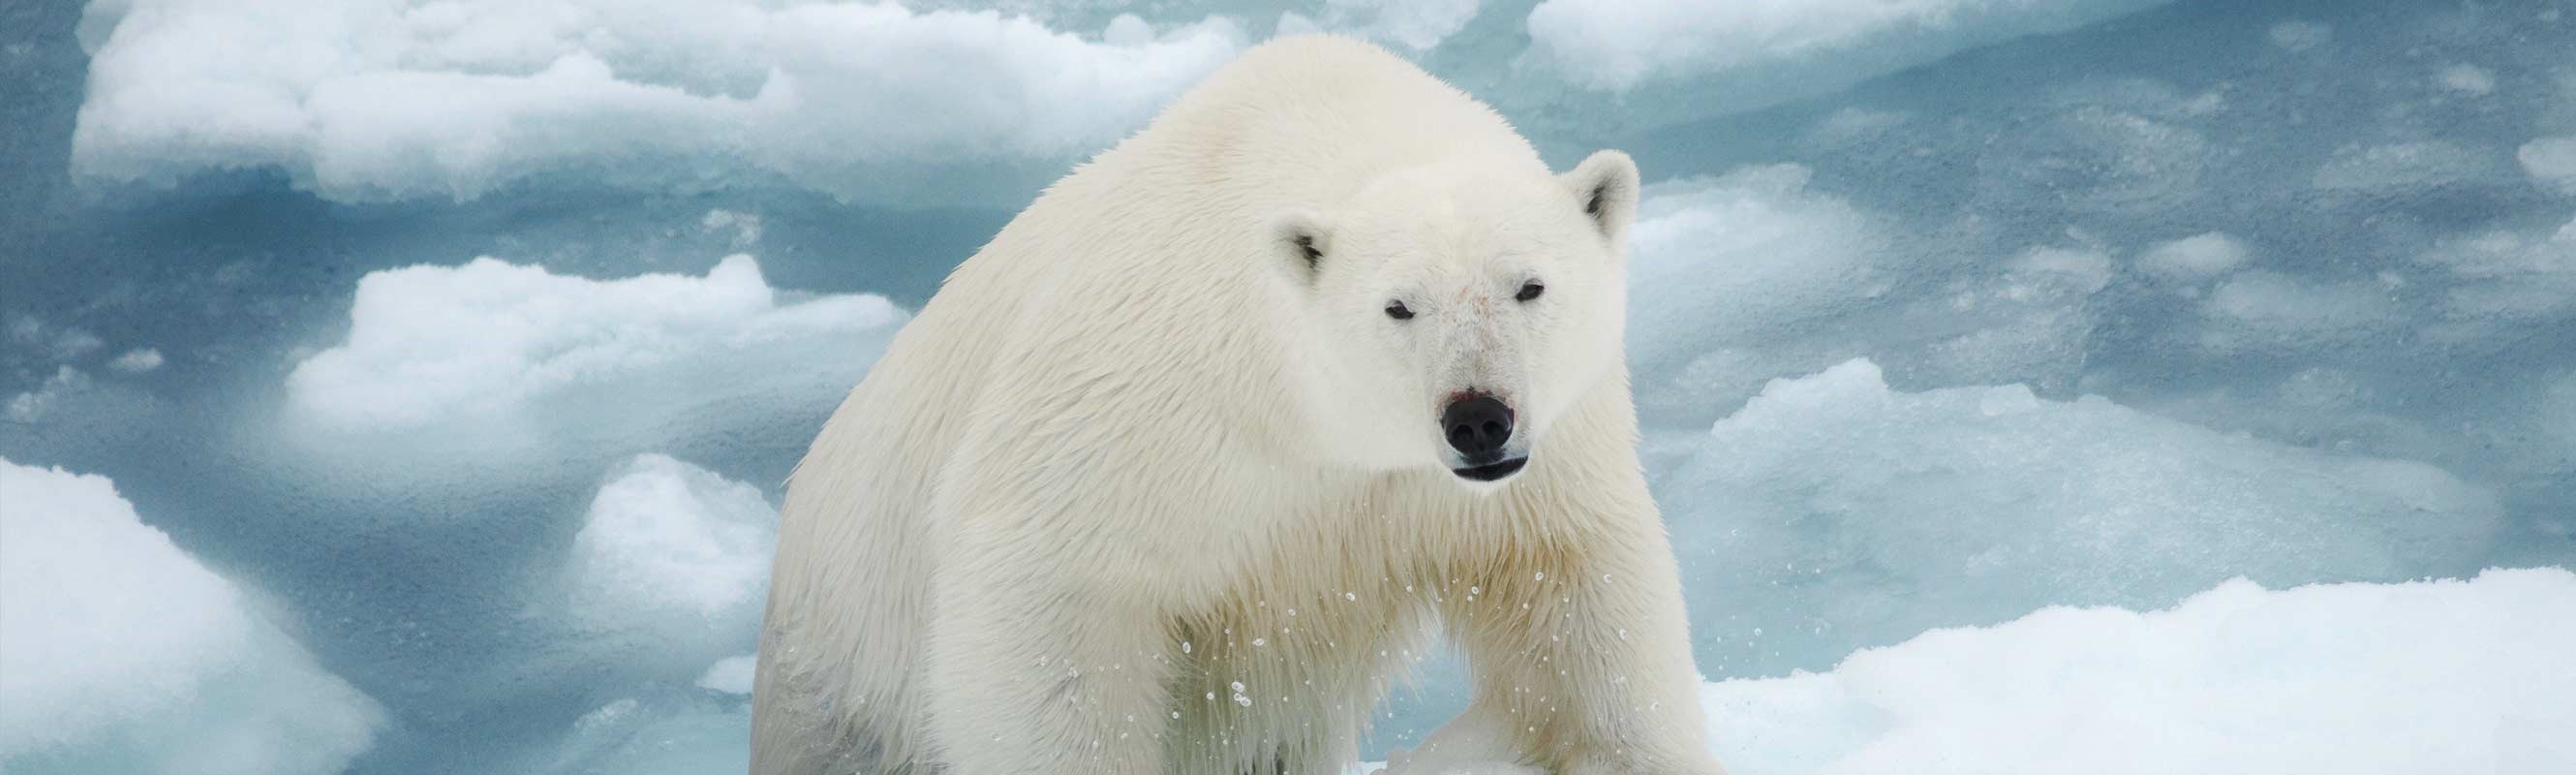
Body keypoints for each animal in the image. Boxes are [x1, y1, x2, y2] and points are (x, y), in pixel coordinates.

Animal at [751, 34, 1722, 775]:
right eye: (1398, 306)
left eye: (1529, 286)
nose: (1478, 417)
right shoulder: (1137, 403)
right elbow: (1050, 601)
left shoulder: (1533, 468)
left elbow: (1574, 617)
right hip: (838, 652)